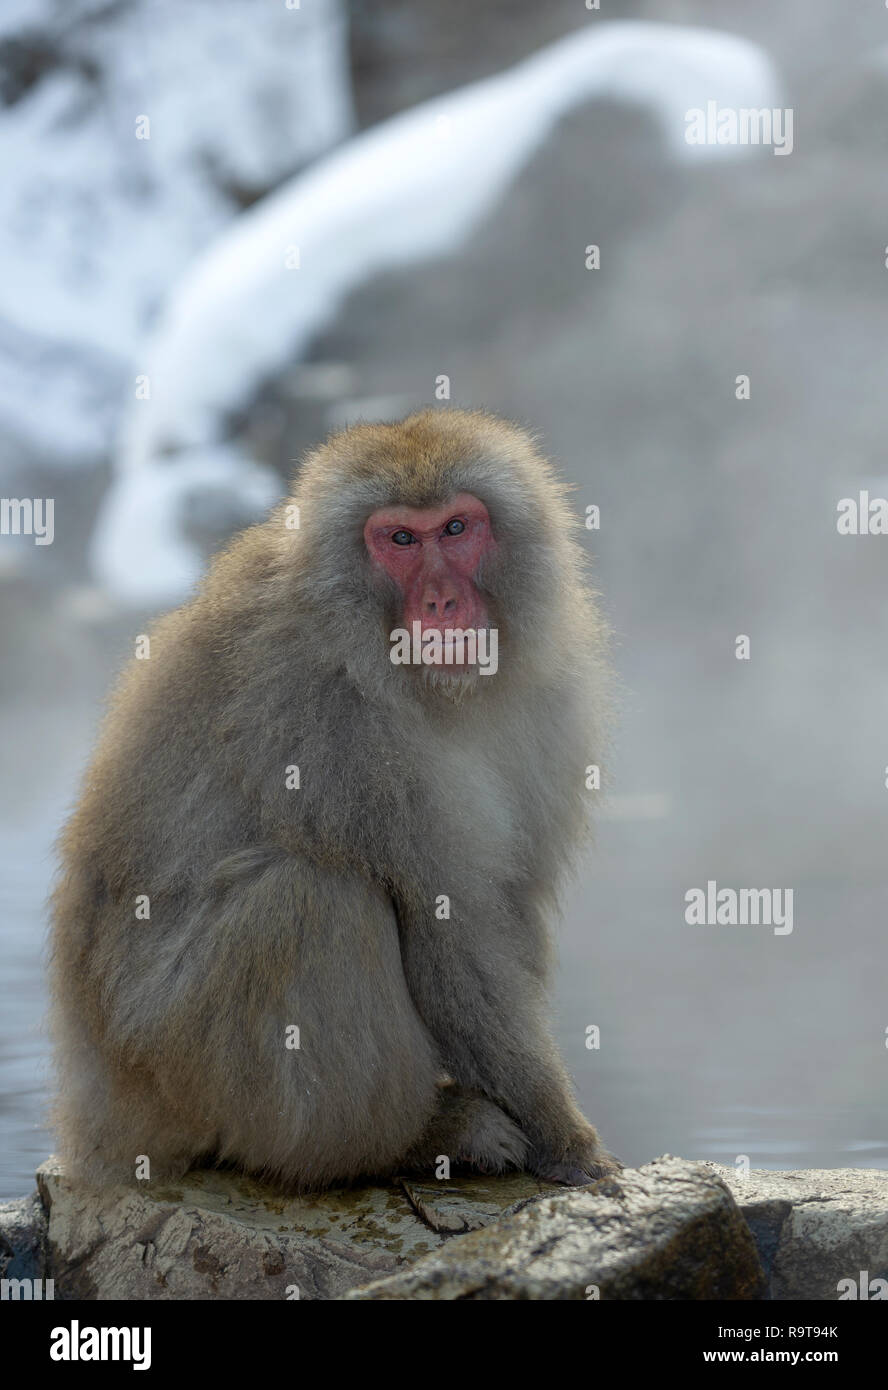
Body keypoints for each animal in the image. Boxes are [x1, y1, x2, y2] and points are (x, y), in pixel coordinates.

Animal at [49, 408, 619, 1191]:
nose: (443, 603)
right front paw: (565, 1139)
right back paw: (397, 1144)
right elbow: (452, 934)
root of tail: (91, 1114)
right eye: (399, 539)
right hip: (170, 1057)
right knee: (311, 900)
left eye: (455, 528)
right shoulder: (329, 721)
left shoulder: (547, 698)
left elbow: (509, 906)